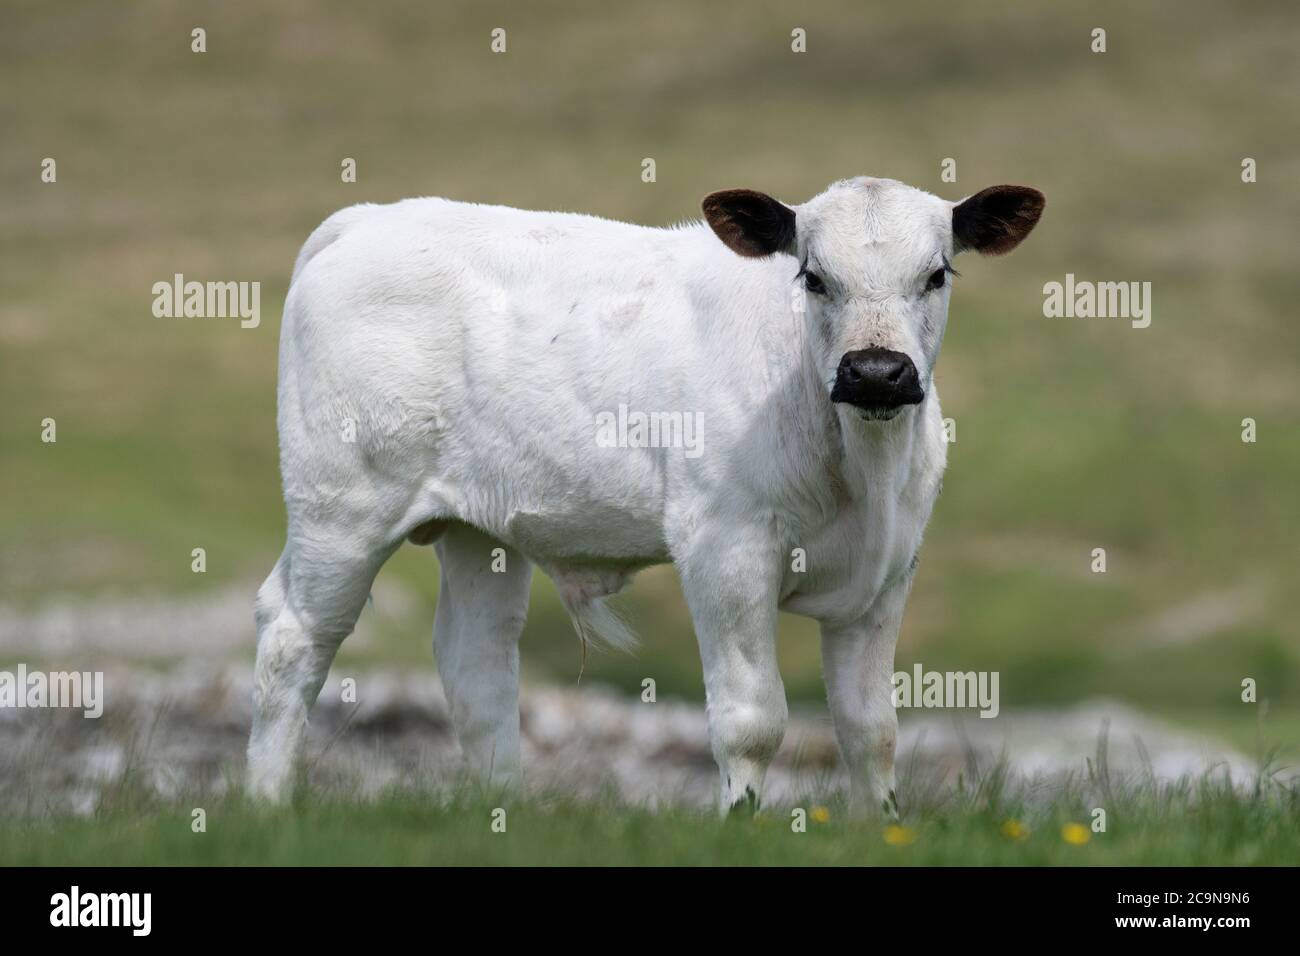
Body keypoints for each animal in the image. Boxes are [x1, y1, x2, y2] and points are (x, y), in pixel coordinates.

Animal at [246, 176, 1044, 815]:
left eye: (937, 274)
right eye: (814, 277)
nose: (876, 370)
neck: (863, 471)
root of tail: (369, 219)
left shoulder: (890, 567)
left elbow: (870, 726)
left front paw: (882, 825)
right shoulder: (724, 546)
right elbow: (751, 719)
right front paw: (740, 825)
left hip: (481, 531)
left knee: (477, 663)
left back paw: (501, 813)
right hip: (341, 509)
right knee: (294, 639)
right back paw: (268, 807)